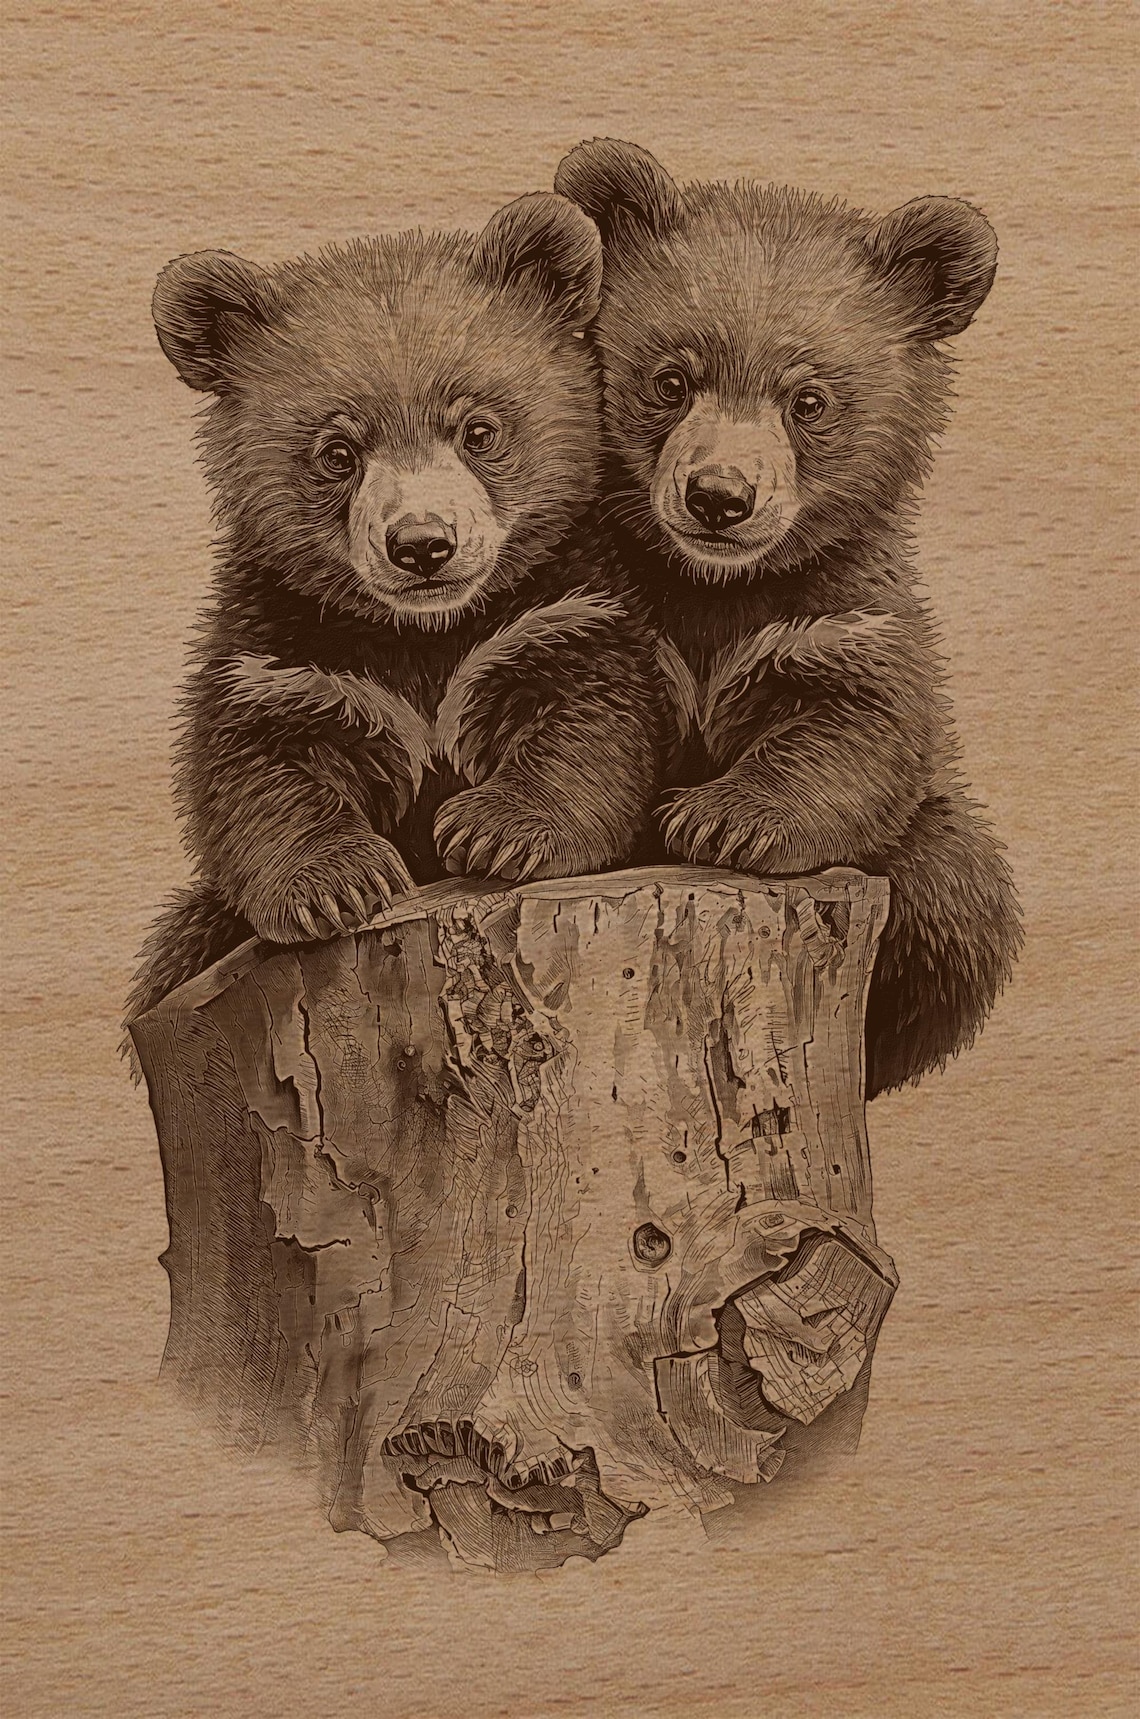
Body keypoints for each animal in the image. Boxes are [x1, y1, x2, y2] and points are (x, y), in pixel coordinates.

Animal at [126, 192, 661, 1025]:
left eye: (478, 428)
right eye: (339, 452)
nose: (422, 544)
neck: (424, 634)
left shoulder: (554, 611)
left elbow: (592, 725)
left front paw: (494, 829)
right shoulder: (289, 658)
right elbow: (251, 772)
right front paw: (337, 880)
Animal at [553, 138, 1021, 1099]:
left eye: (809, 399)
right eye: (671, 377)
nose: (719, 496)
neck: (718, 588)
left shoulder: (845, 614)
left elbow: (858, 729)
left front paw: (722, 817)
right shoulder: (607, 595)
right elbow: (583, 712)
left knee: (959, 902)